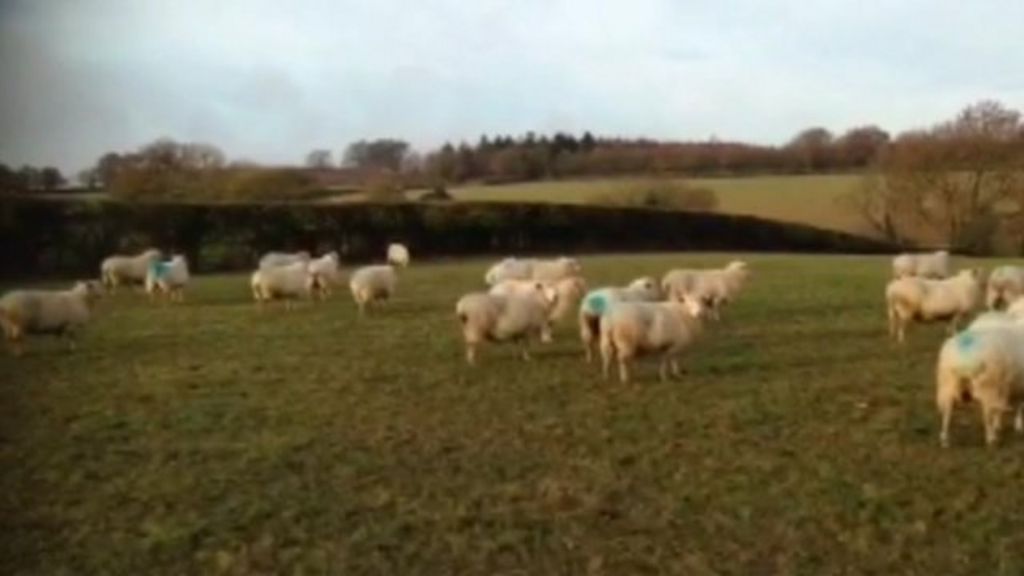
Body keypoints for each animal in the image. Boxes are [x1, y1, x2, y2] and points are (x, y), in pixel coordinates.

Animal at [935, 318, 1024, 447]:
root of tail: (963, 360)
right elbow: (1018, 406)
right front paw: (1016, 426)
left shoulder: (1007, 387)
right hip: (987, 386)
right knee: (987, 413)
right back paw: (991, 439)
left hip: (947, 385)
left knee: (947, 413)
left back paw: (945, 440)